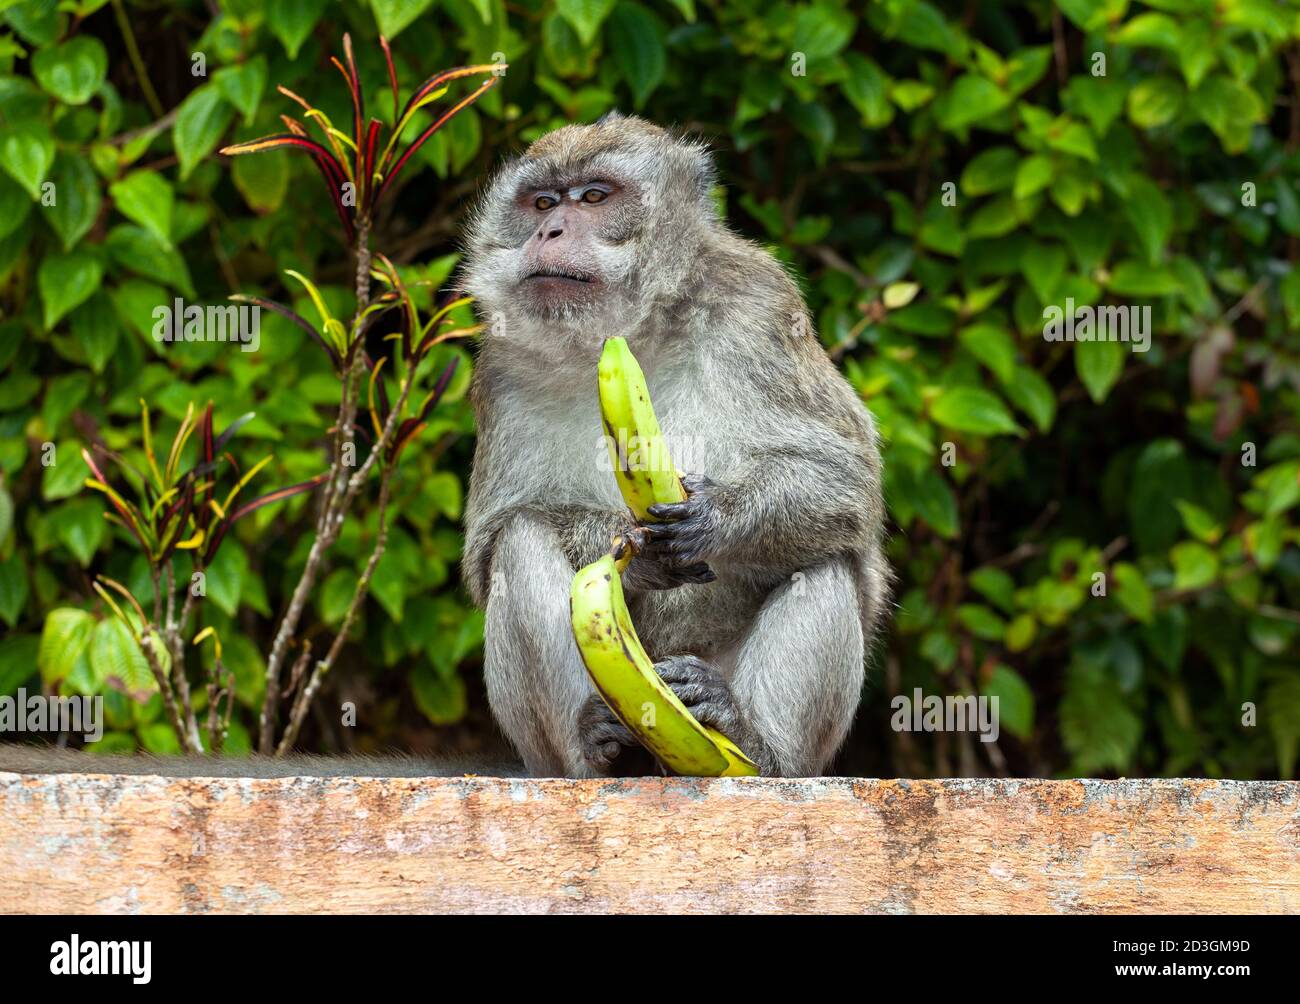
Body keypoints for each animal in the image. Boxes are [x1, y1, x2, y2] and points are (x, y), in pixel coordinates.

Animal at [459, 113, 890, 779]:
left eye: (595, 197)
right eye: (542, 202)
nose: (549, 230)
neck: (629, 332)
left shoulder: (759, 304)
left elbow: (842, 473)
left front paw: (715, 518)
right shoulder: (500, 368)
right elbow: (490, 543)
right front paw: (637, 549)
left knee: (825, 553)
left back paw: (752, 741)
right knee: (522, 536)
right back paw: (598, 749)